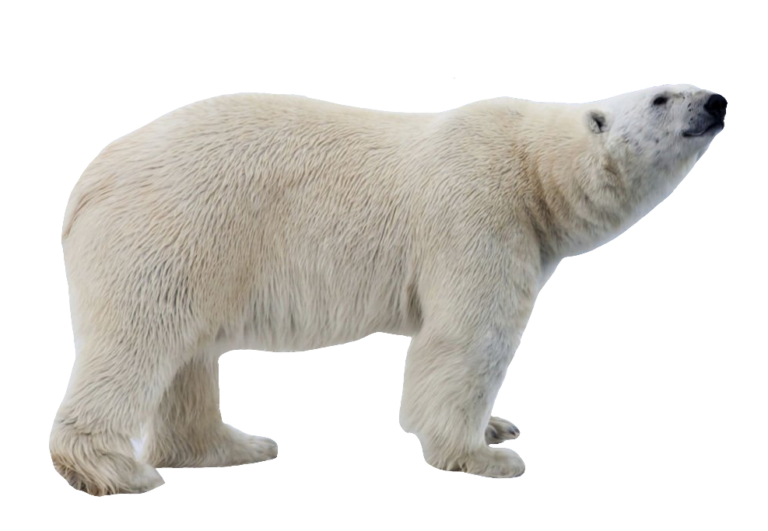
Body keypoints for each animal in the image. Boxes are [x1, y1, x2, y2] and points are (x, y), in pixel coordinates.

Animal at [52, 85, 727, 495]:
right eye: (662, 97)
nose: (716, 101)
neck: (533, 164)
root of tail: (87, 181)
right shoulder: (482, 209)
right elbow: (466, 340)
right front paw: (483, 457)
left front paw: (497, 428)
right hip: (172, 227)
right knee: (141, 339)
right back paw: (117, 470)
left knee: (187, 354)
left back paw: (232, 445)